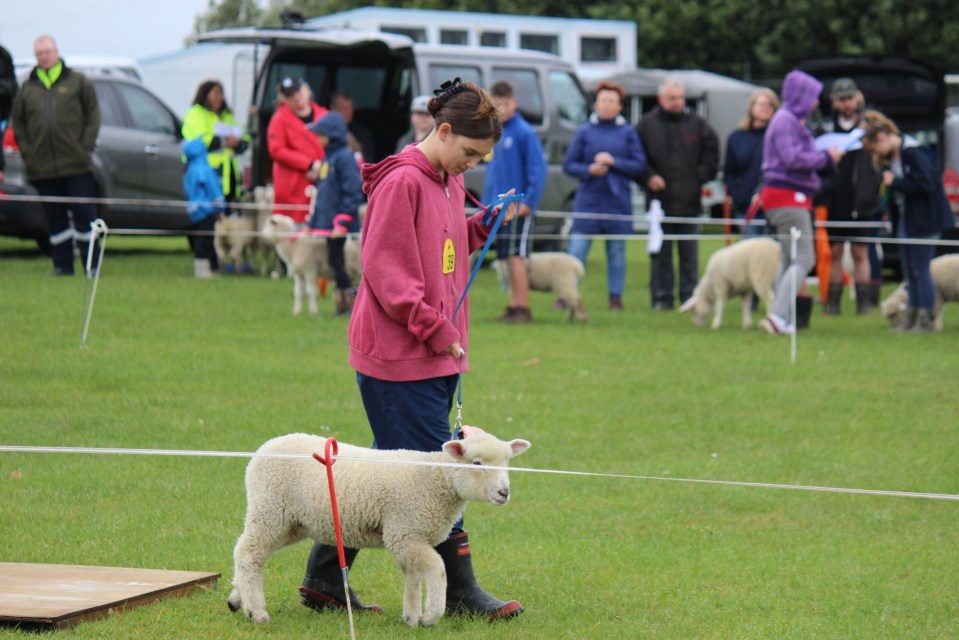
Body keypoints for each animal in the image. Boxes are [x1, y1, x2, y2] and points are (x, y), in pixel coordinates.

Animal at [226, 427, 531, 627]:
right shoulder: (405, 533)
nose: (504, 493)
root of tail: (262, 450)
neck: (436, 478)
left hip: (291, 521)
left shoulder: (410, 535)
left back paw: (237, 598)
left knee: (249, 553)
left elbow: (412, 577)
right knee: (248, 554)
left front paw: (411, 617)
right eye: (477, 463)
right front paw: (431, 615)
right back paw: (256, 612)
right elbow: (437, 568)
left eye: (507, 463)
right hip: (270, 510)